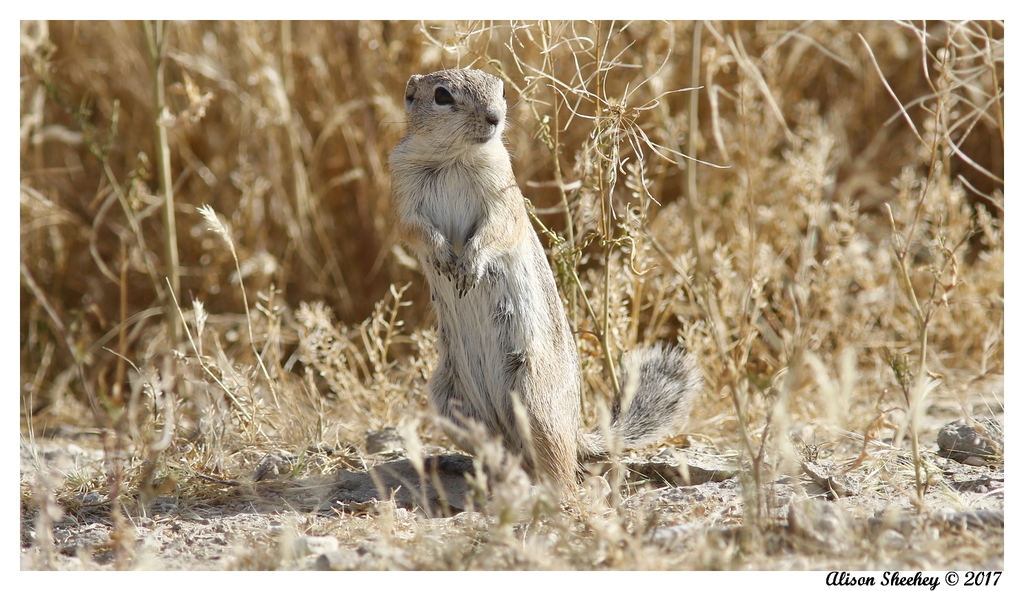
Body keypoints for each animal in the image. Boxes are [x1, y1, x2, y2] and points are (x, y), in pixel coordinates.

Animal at [389, 68, 702, 495]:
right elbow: (417, 231)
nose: (494, 117)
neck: (455, 158)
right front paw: (444, 257)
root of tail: (575, 432)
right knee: (500, 448)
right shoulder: (405, 194)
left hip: (535, 400)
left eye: (502, 89)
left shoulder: (504, 197)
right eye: (441, 96)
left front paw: (470, 264)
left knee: (560, 468)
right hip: (448, 401)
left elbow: (496, 230)